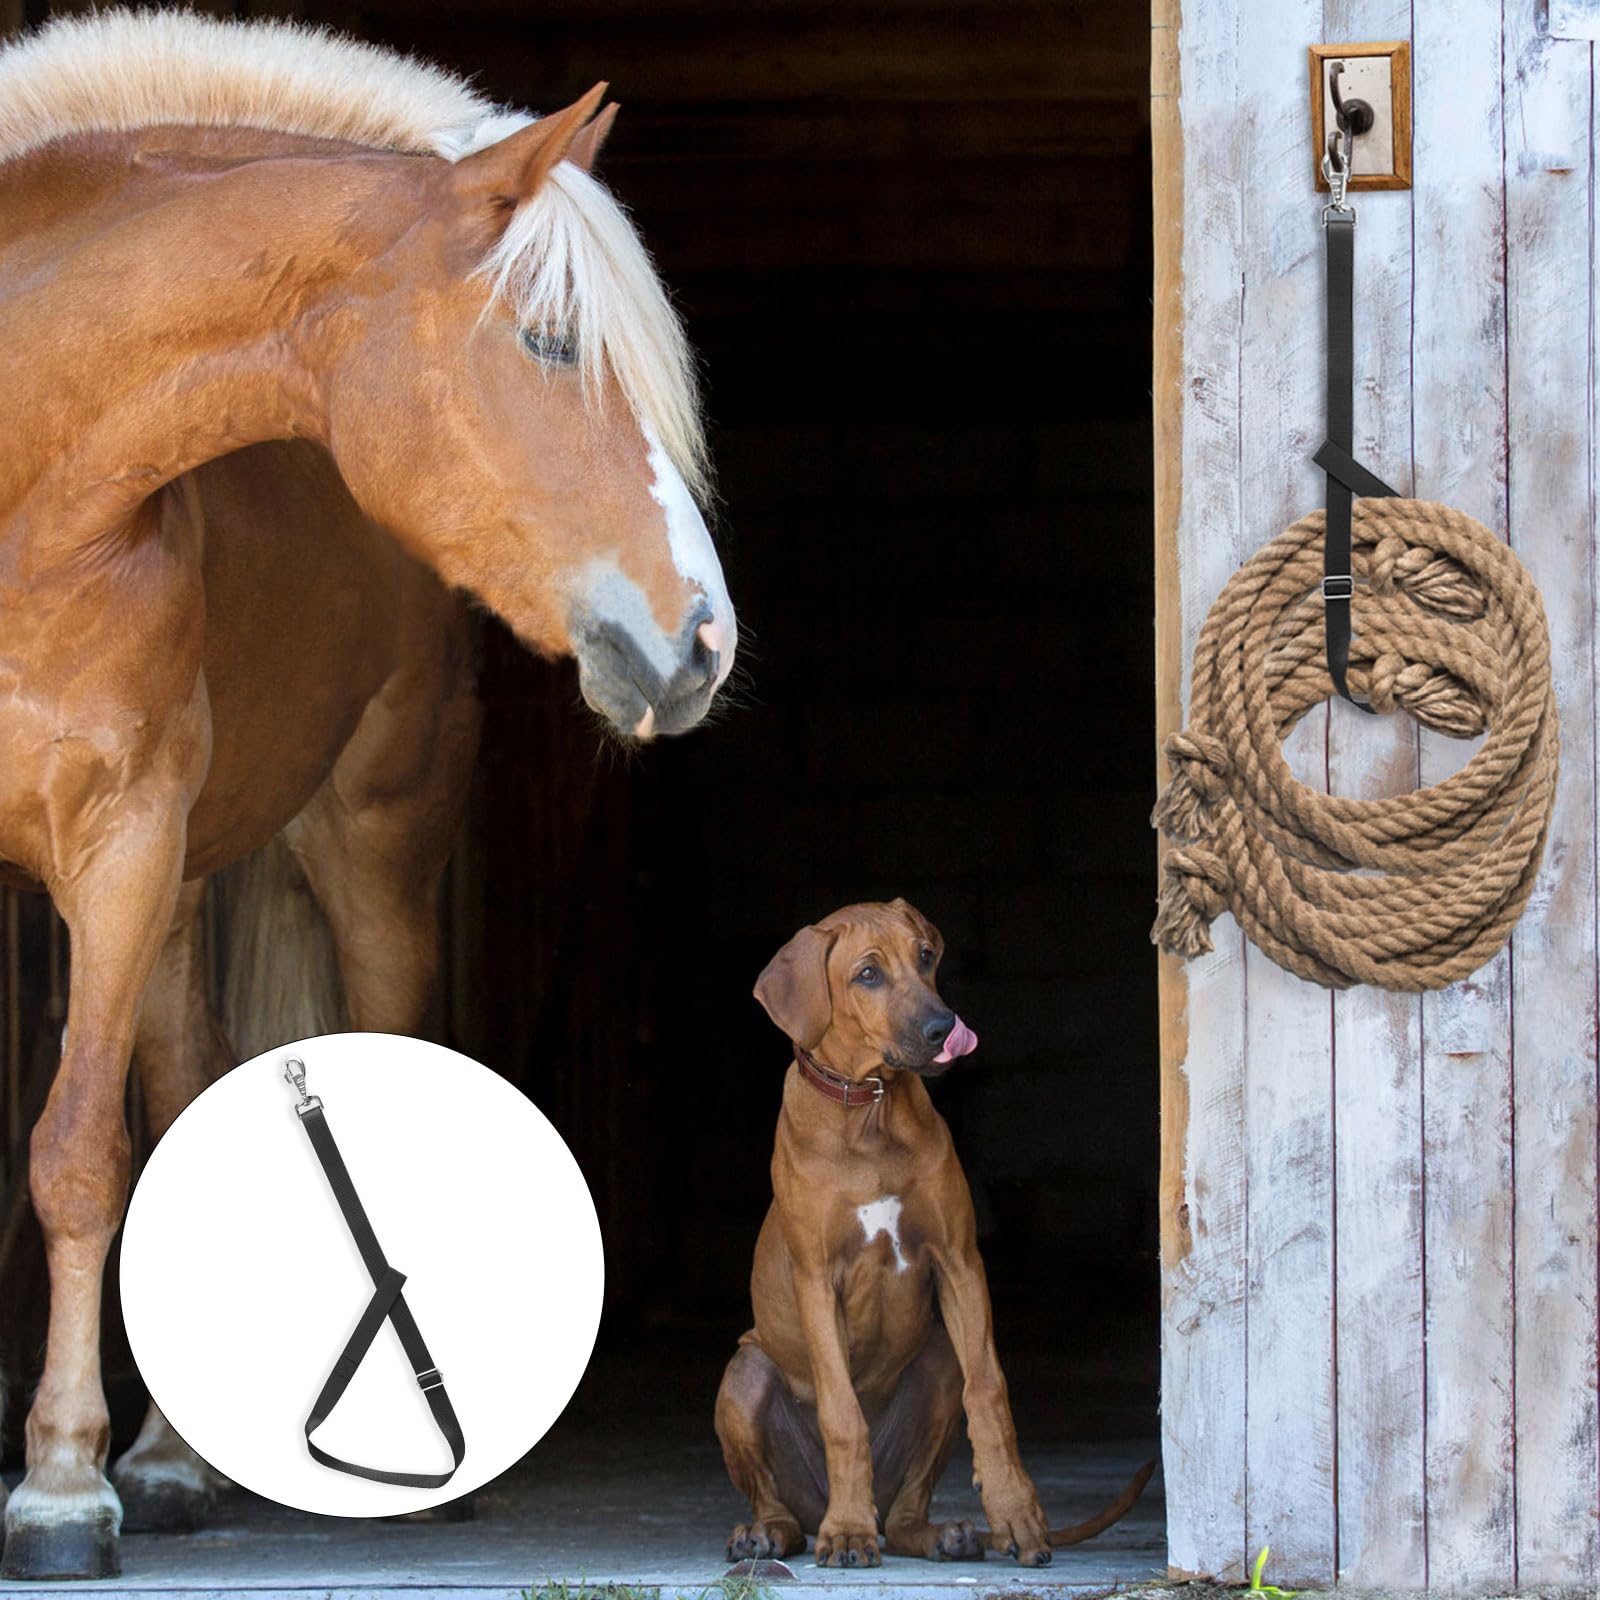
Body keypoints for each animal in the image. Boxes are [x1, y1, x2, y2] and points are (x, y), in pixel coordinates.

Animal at [0, 9, 736, 1578]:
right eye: (551, 340)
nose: (704, 642)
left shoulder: (118, 840)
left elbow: (77, 1152)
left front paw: (59, 1489)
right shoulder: (128, 859)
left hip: (359, 849)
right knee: (189, 1078)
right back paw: (170, 1457)